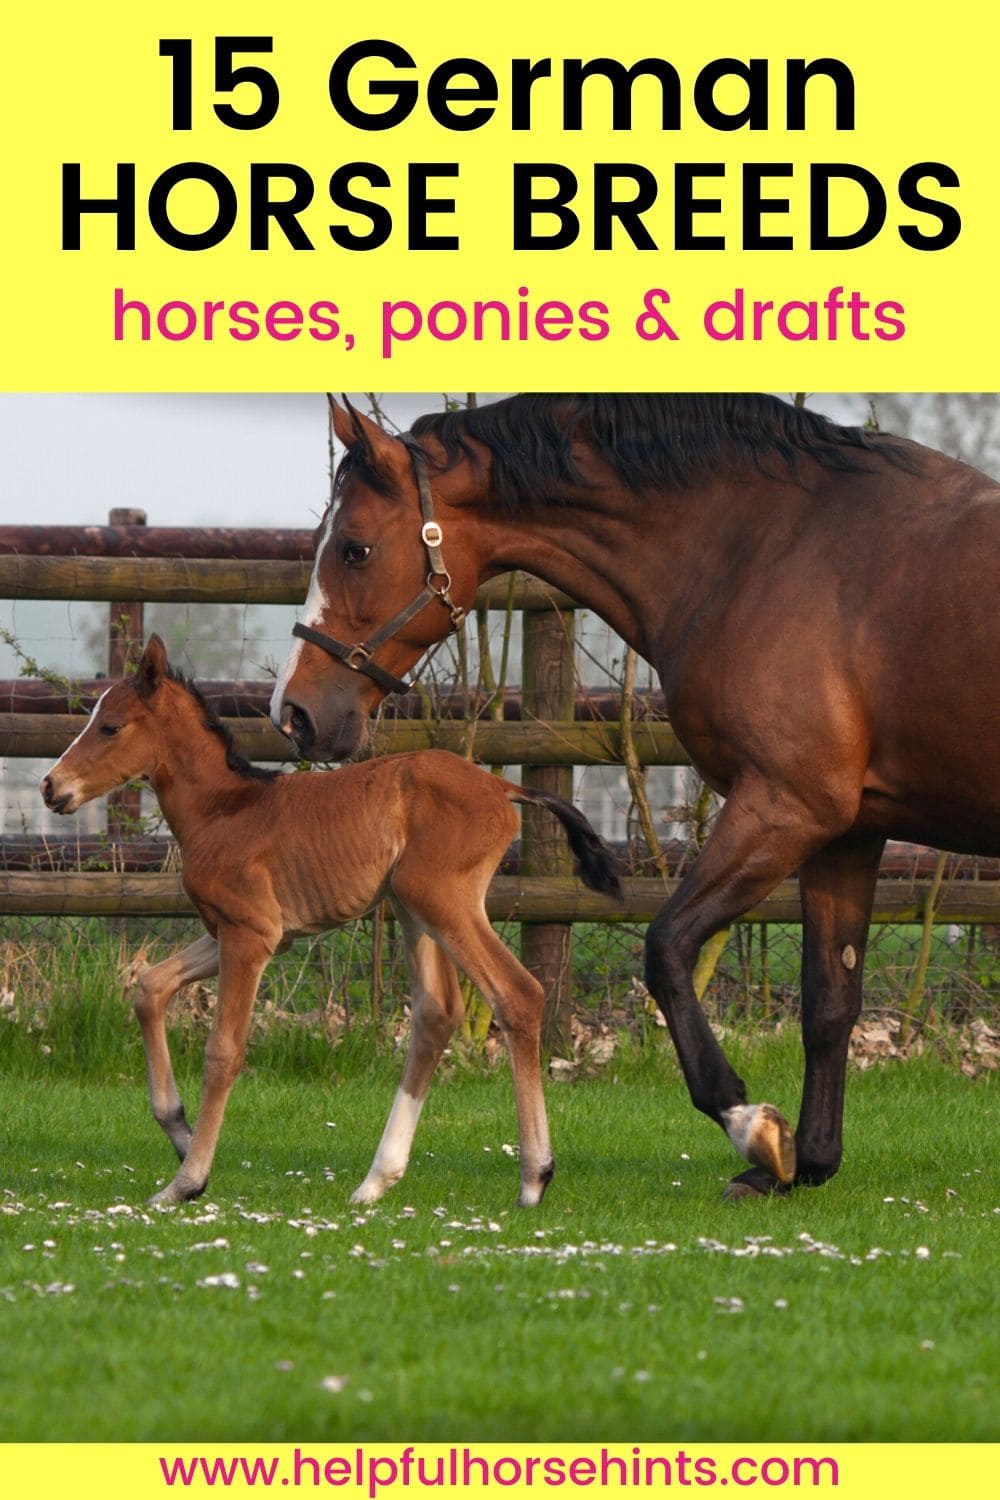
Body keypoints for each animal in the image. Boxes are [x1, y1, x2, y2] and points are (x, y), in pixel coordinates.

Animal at [40, 634, 621, 1207]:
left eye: (110, 726)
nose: (50, 786)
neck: (224, 810)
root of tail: (502, 788)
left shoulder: (250, 936)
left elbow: (223, 1050)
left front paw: (188, 1180)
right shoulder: (249, 933)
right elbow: (150, 987)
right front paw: (179, 1132)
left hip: (443, 901)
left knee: (517, 993)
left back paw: (534, 1177)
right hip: (413, 908)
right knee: (437, 1012)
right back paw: (375, 1181)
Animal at [271, 392, 1000, 1198]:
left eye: (355, 550)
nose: (294, 713)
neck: (773, 546)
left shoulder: (784, 807)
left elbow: (667, 948)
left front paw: (750, 1125)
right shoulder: (845, 834)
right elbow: (828, 1002)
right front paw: (805, 1161)